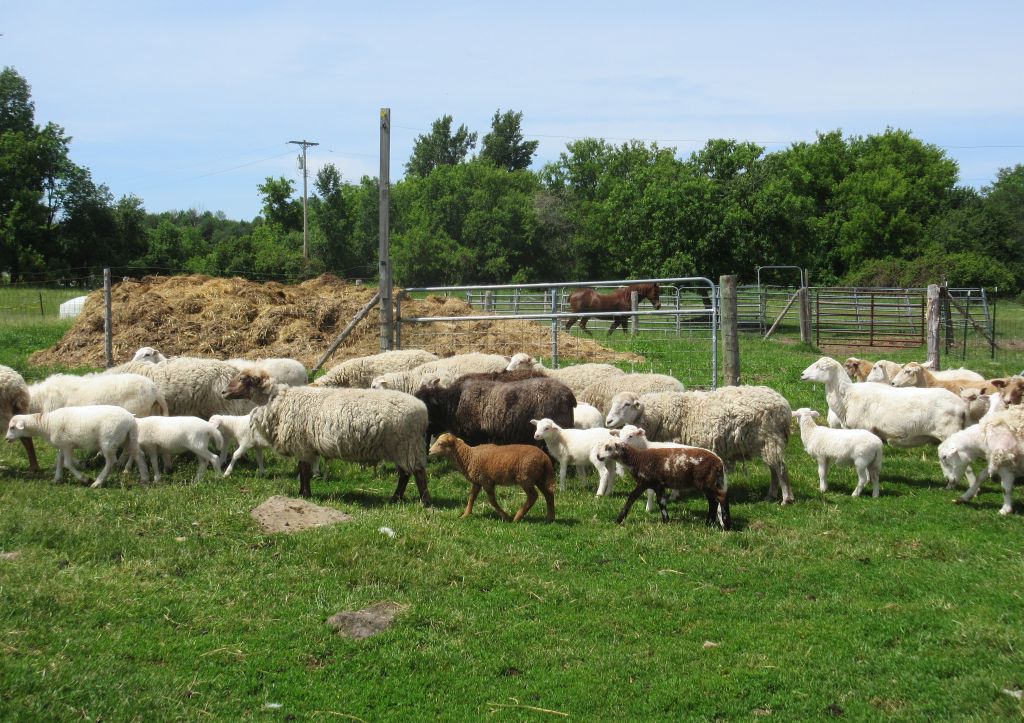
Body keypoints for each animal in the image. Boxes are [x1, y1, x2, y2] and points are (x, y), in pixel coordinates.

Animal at [5, 405, 148, 488]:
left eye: (12, 427)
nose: (6, 439)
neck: (46, 424)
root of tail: (131, 419)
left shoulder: (67, 445)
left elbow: (67, 463)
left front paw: (84, 478)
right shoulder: (62, 445)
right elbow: (59, 461)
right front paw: (57, 478)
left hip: (108, 440)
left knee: (111, 461)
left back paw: (97, 482)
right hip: (128, 438)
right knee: (138, 454)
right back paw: (144, 478)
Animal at [231, 377, 431, 502]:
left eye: (243, 380)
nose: (225, 392)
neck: (278, 402)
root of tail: (423, 410)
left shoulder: (302, 444)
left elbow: (304, 470)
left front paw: (305, 494)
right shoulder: (304, 445)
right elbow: (303, 469)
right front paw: (302, 492)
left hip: (406, 444)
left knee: (418, 473)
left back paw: (425, 501)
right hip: (401, 447)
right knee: (405, 474)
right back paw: (396, 498)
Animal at [594, 437, 730, 529]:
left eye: (608, 448)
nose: (598, 456)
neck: (637, 459)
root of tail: (719, 462)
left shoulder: (646, 482)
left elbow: (632, 498)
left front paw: (619, 519)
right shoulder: (657, 485)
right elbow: (660, 502)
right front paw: (666, 520)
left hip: (706, 482)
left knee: (722, 497)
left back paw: (727, 524)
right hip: (709, 483)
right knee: (713, 502)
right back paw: (709, 522)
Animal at [604, 385, 793, 504]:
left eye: (627, 404)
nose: (608, 421)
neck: (658, 414)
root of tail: (784, 404)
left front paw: (674, 496)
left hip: (770, 439)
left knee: (781, 469)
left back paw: (786, 499)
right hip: (766, 443)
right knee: (774, 469)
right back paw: (771, 495)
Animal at [801, 357, 967, 448]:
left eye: (820, 367)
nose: (802, 374)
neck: (848, 395)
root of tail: (962, 406)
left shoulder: (864, 428)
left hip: (950, 432)